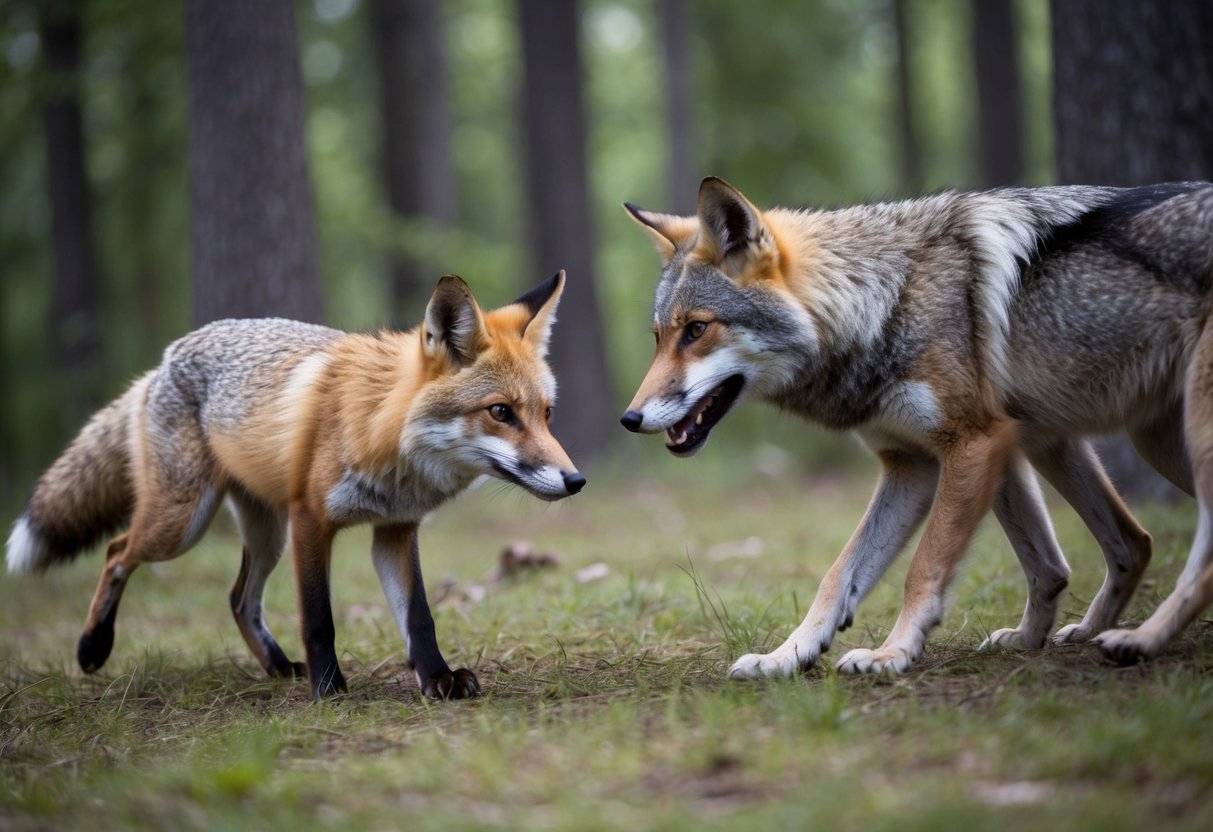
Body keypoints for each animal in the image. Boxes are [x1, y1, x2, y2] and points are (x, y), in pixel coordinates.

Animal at [5, 272, 585, 700]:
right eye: (500, 412)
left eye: (547, 414)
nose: (575, 480)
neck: (383, 431)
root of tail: (163, 362)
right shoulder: (312, 520)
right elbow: (319, 618)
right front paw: (328, 690)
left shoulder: (395, 530)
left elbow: (419, 618)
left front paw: (438, 679)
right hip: (183, 523)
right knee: (117, 551)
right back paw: (92, 647)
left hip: (266, 534)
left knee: (238, 598)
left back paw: (278, 666)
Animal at [620, 176, 1213, 679]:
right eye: (658, 336)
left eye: (697, 330)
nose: (630, 418)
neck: (887, 304)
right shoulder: (925, 462)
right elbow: (840, 574)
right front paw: (787, 656)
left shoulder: (974, 444)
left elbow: (922, 569)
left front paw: (892, 653)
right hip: (1078, 444)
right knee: (1132, 543)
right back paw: (1081, 633)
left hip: (1181, 444)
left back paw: (1141, 639)